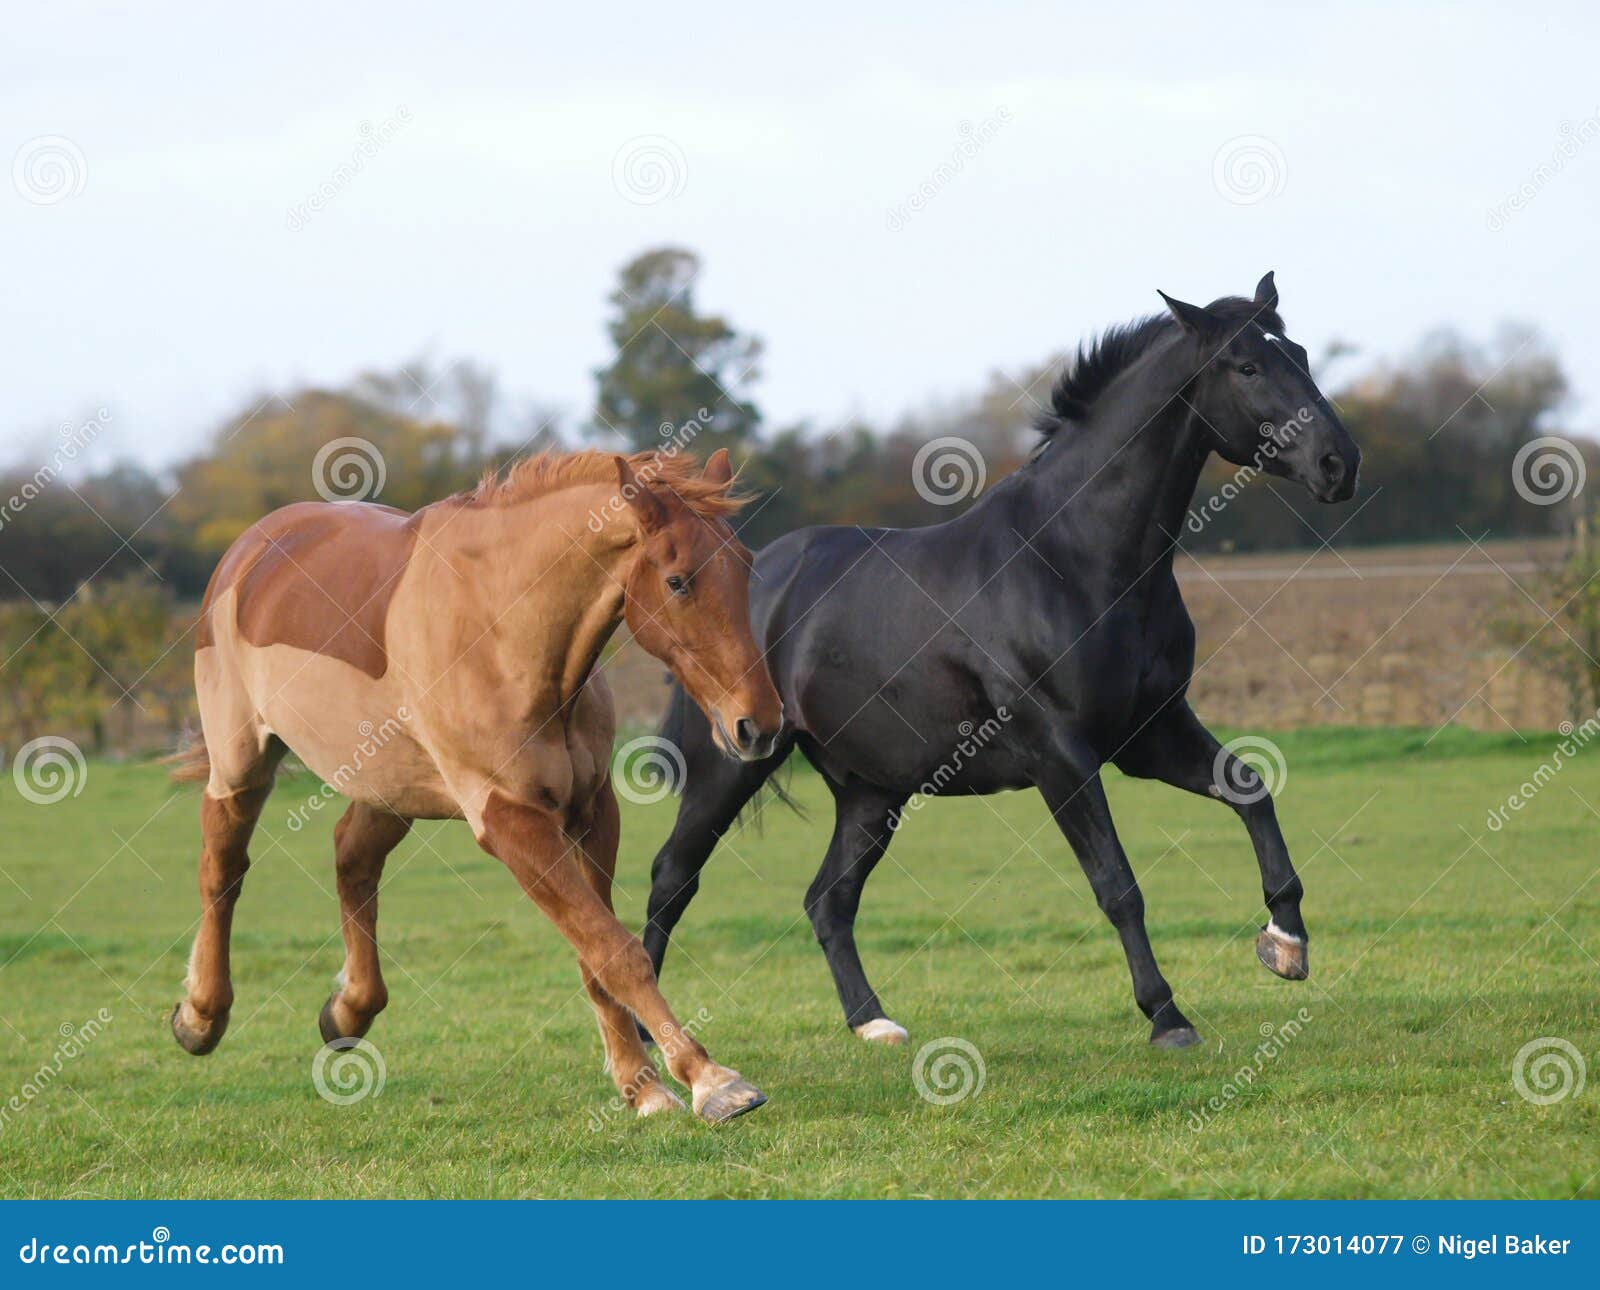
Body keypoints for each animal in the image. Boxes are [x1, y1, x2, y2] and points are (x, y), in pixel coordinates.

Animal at [168, 446, 785, 1123]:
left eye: (745, 566)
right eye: (678, 580)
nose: (758, 724)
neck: (501, 629)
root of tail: (250, 548)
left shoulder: (592, 810)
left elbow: (596, 956)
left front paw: (639, 1085)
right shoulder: (510, 820)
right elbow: (614, 950)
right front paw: (709, 1079)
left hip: (390, 788)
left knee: (351, 857)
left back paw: (347, 1011)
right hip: (241, 766)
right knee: (222, 869)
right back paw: (200, 1016)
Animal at [640, 274, 1361, 1050]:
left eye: (1300, 353)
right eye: (1248, 366)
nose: (1339, 464)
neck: (1075, 561)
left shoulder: (1152, 735)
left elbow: (1251, 790)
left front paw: (1285, 944)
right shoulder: (1061, 757)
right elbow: (1118, 885)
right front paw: (1167, 1016)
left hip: (871, 790)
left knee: (827, 900)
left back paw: (874, 1024)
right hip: (732, 764)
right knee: (672, 878)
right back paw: (650, 1039)